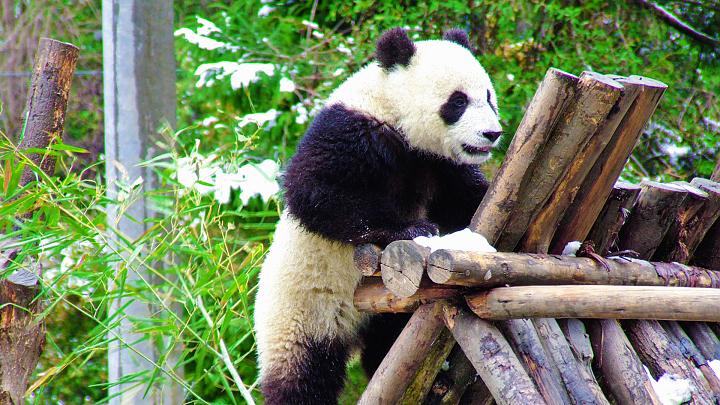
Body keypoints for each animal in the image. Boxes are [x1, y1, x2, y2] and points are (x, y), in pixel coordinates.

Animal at [254, 27, 502, 404]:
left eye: (488, 97)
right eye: (457, 102)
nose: (491, 133)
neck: (393, 109)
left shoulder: (437, 164)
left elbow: (464, 198)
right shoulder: (351, 132)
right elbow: (315, 194)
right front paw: (413, 228)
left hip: (391, 308)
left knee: (387, 346)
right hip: (300, 316)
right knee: (302, 378)